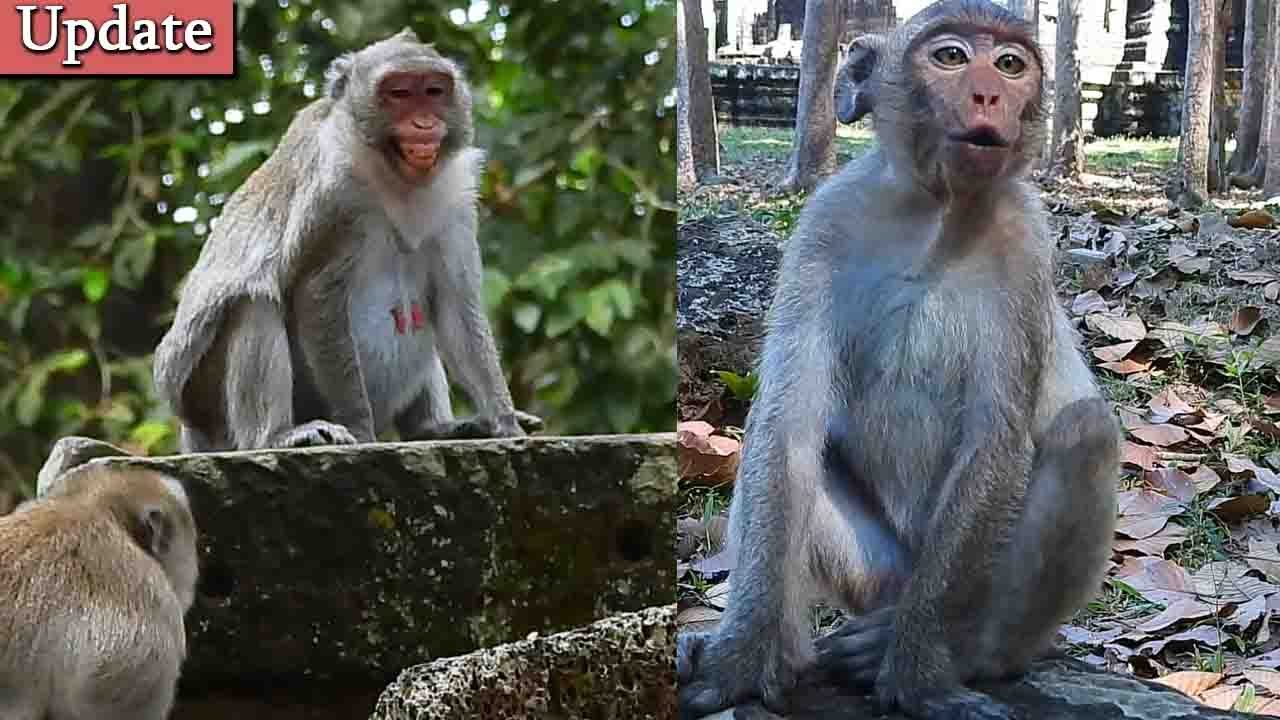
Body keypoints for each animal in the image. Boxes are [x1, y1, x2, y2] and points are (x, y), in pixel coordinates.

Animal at [153, 28, 542, 452]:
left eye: (434, 91)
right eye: (399, 93)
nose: (425, 123)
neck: (394, 175)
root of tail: (192, 430)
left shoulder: (456, 197)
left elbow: (455, 306)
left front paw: (505, 422)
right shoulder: (333, 195)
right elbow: (316, 294)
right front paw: (360, 430)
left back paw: (434, 428)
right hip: (203, 400)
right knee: (251, 303)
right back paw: (280, 434)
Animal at [676, 2, 1121, 718]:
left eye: (1010, 64)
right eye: (951, 57)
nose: (989, 95)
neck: (934, 214)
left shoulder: (1027, 240)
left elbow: (995, 439)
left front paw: (918, 680)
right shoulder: (824, 225)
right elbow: (786, 425)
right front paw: (739, 655)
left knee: (1086, 433)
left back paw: (962, 650)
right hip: (879, 572)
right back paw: (788, 650)